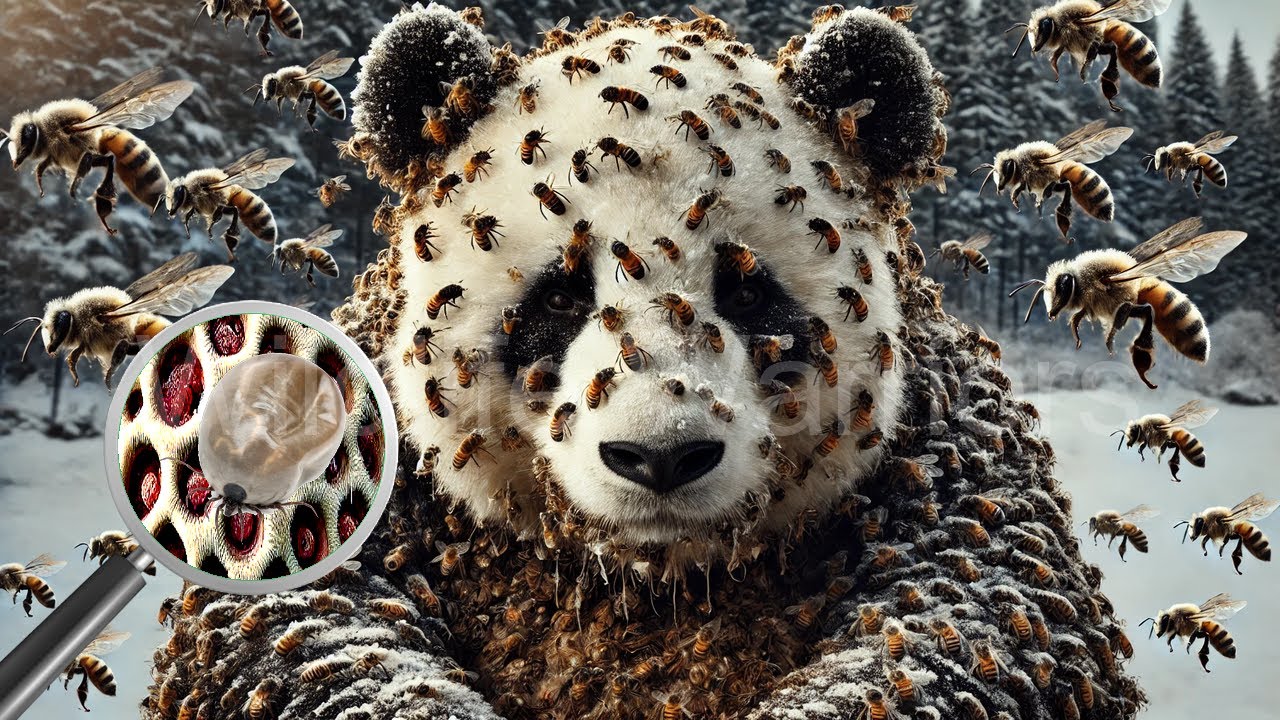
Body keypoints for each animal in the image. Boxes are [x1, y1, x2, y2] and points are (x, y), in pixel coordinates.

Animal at [145, 5, 1146, 720]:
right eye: (559, 294)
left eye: (747, 290)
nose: (660, 456)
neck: (648, 583)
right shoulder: (377, 437)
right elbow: (289, 614)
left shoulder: (940, 452)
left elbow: (982, 620)